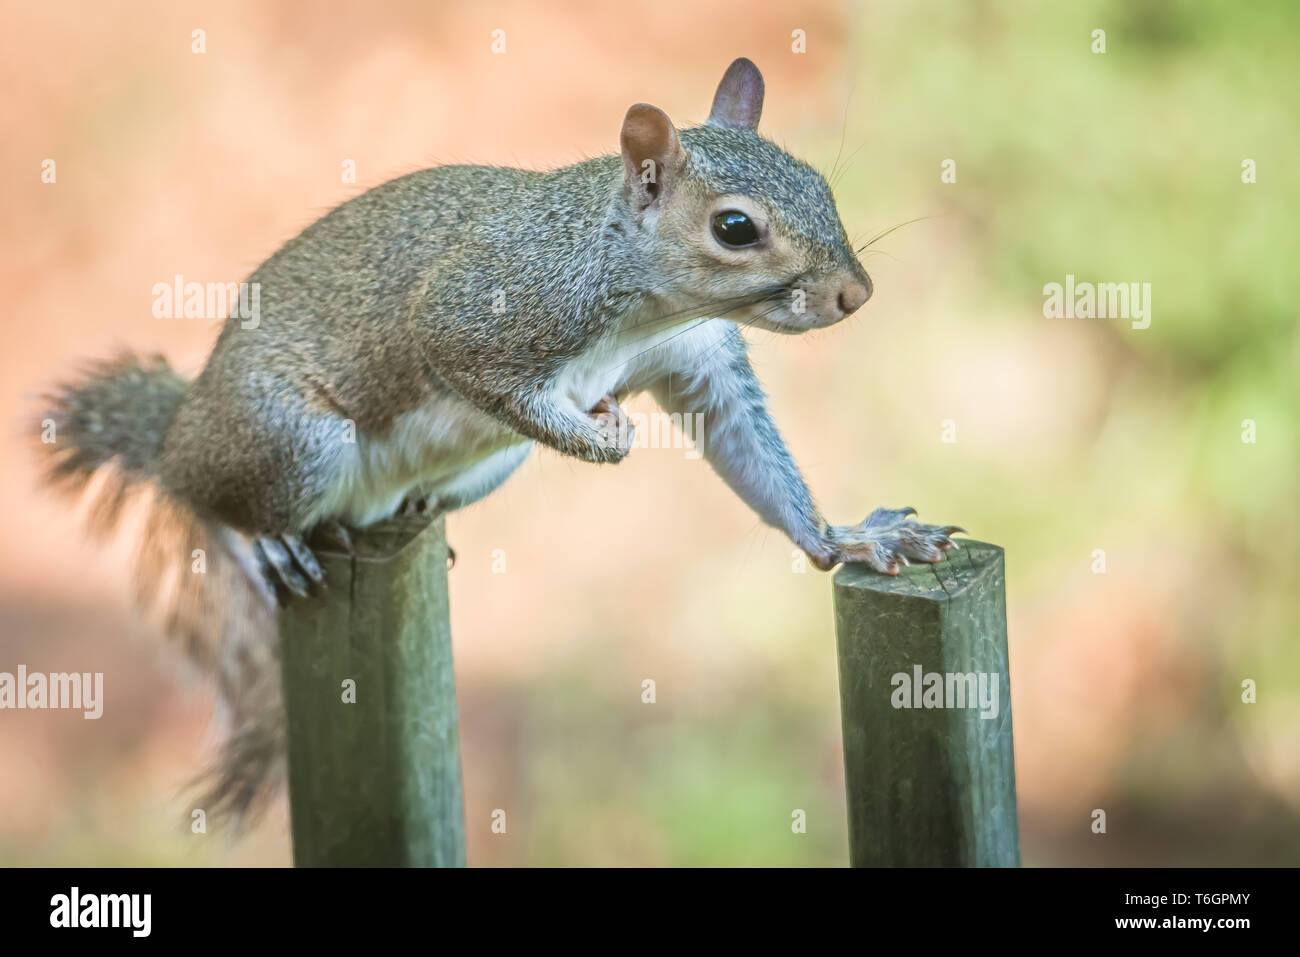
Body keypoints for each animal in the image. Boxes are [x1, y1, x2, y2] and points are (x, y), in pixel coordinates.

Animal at [39, 58, 963, 823]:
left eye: (820, 185)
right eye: (736, 228)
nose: (855, 292)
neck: (640, 294)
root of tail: (177, 431)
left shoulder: (698, 363)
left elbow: (751, 454)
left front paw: (847, 538)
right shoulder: (480, 313)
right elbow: (469, 363)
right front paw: (604, 437)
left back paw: (419, 510)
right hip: (288, 439)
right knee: (214, 503)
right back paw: (265, 542)